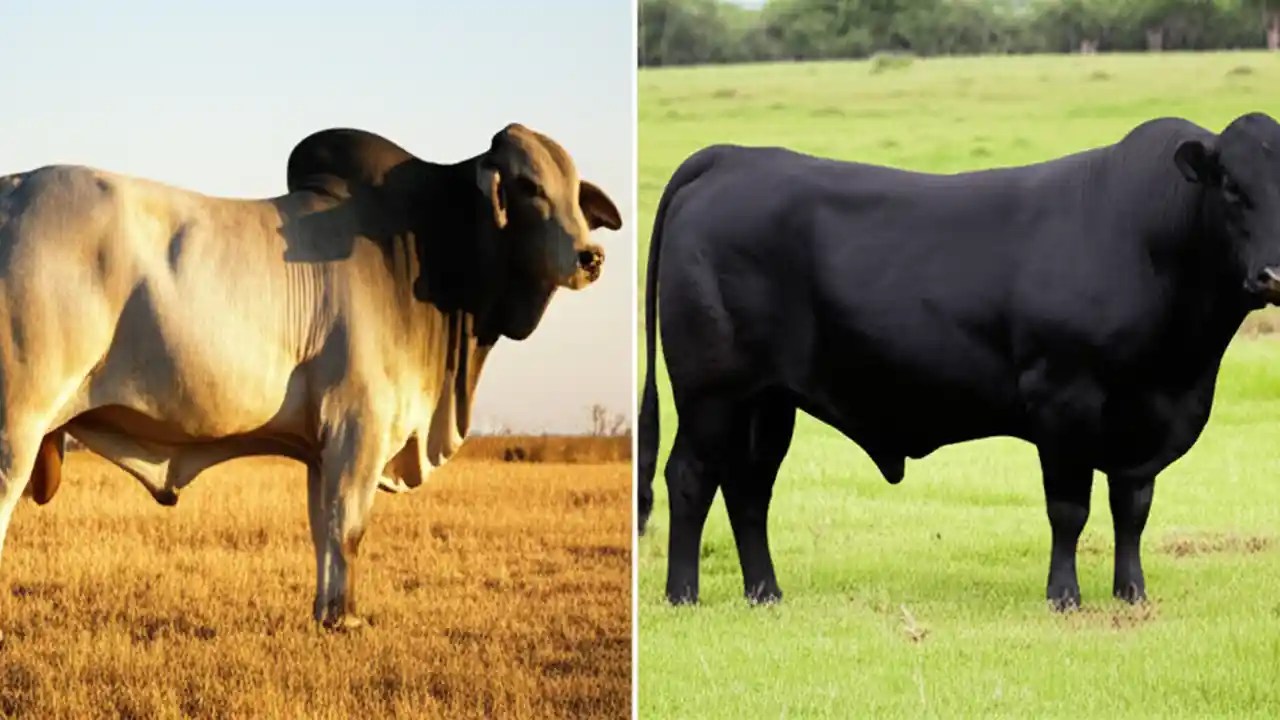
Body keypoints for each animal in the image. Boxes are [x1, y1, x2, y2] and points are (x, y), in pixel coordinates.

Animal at [0, 123, 621, 630]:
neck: (418, 250)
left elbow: (323, 529)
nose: (590, 258)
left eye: (575, 192)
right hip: (19, 426)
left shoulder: (323, 447)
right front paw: (346, 619)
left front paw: (326, 613)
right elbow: (349, 527)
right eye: (530, 187)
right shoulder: (359, 427)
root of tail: (12, 189)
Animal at [638, 112, 1280, 610]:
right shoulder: (1062, 396)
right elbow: (1069, 508)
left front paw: (1132, 593)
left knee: (749, 486)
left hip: (768, 401)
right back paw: (683, 595)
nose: (1273, 274)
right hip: (711, 391)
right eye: (1229, 184)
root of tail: (733, 157)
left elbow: (1133, 507)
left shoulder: (1145, 415)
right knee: (690, 477)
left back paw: (765, 593)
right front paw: (1064, 597)